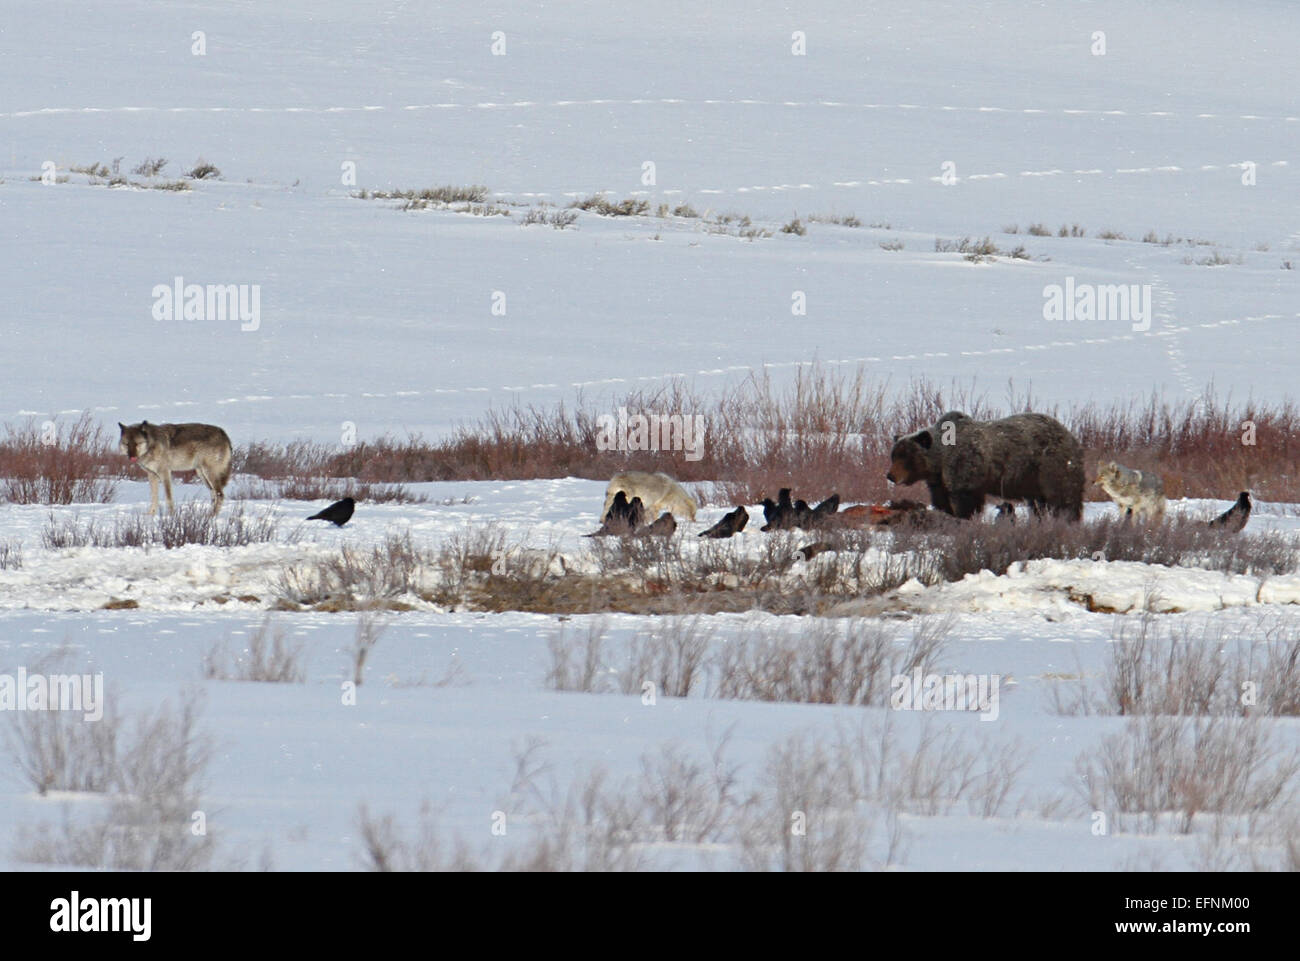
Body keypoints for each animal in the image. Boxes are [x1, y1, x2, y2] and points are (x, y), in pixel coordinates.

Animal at [886, 411, 1084, 521]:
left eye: (905, 457)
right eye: (893, 455)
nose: (890, 475)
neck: (941, 461)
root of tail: (1071, 436)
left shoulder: (966, 470)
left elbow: (967, 503)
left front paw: (965, 518)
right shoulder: (940, 481)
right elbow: (942, 502)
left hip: (1050, 466)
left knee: (1064, 498)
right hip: (1033, 478)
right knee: (1038, 504)